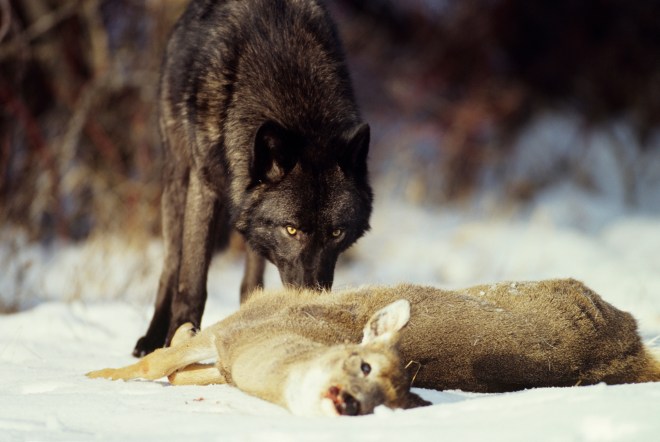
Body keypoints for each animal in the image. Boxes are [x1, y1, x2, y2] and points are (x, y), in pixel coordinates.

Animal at [133, 0, 373, 357]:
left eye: (336, 233)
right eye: (291, 230)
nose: (311, 300)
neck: (293, 95)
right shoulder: (204, 187)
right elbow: (191, 281)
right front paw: (181, 338)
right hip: (177, 175)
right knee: (171, 264)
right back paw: (150, 340)